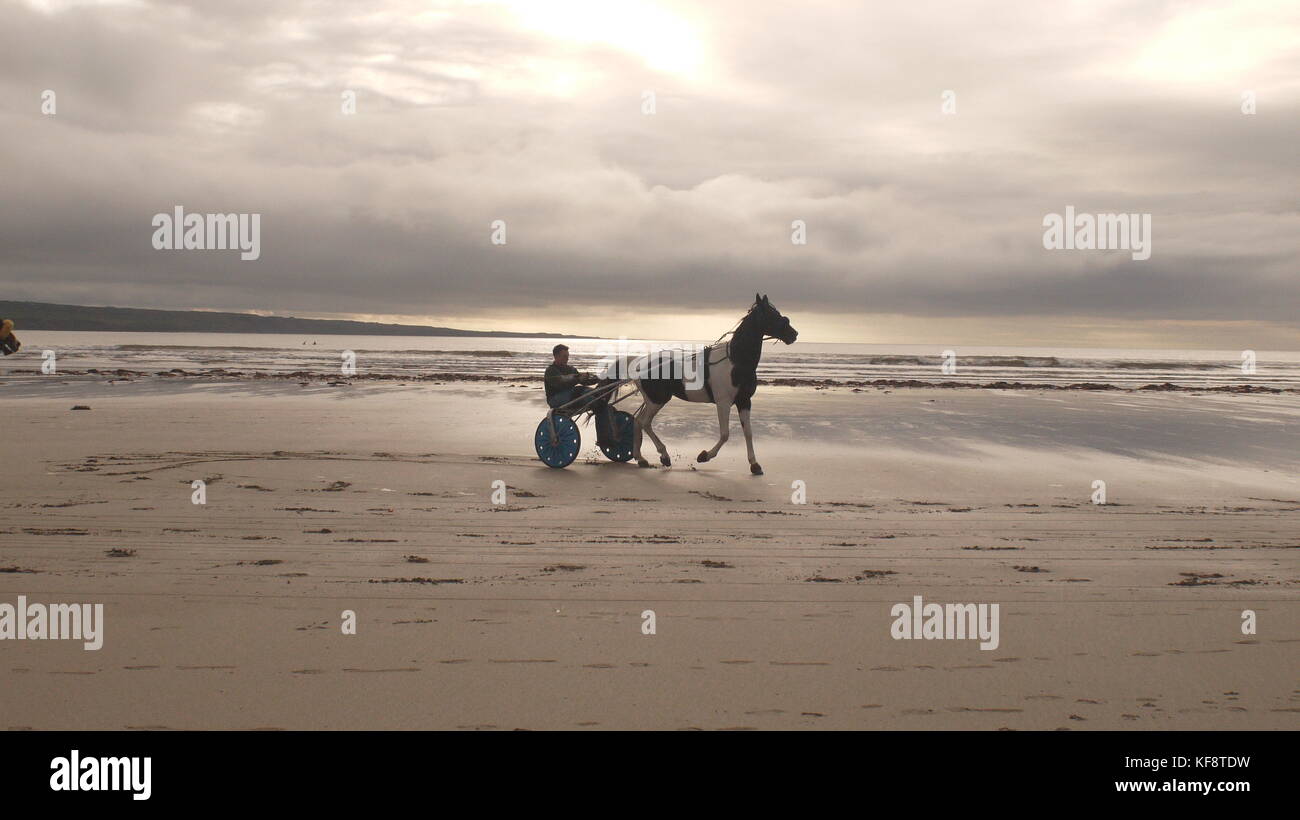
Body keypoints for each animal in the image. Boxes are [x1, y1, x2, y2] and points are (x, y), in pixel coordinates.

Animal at [629, 294, 797, 475]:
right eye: (771, 314)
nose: (794, 334)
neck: (735, 361)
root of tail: (640, 364)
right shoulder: (723, 403)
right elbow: (725, 434)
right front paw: (704, 456)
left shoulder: (744, 401)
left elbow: (748, 432)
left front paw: (754, 464)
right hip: (657, 400)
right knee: (645, 423)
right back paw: (664, 456)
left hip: (651, 401)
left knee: (637, 421)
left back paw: (641, 458)